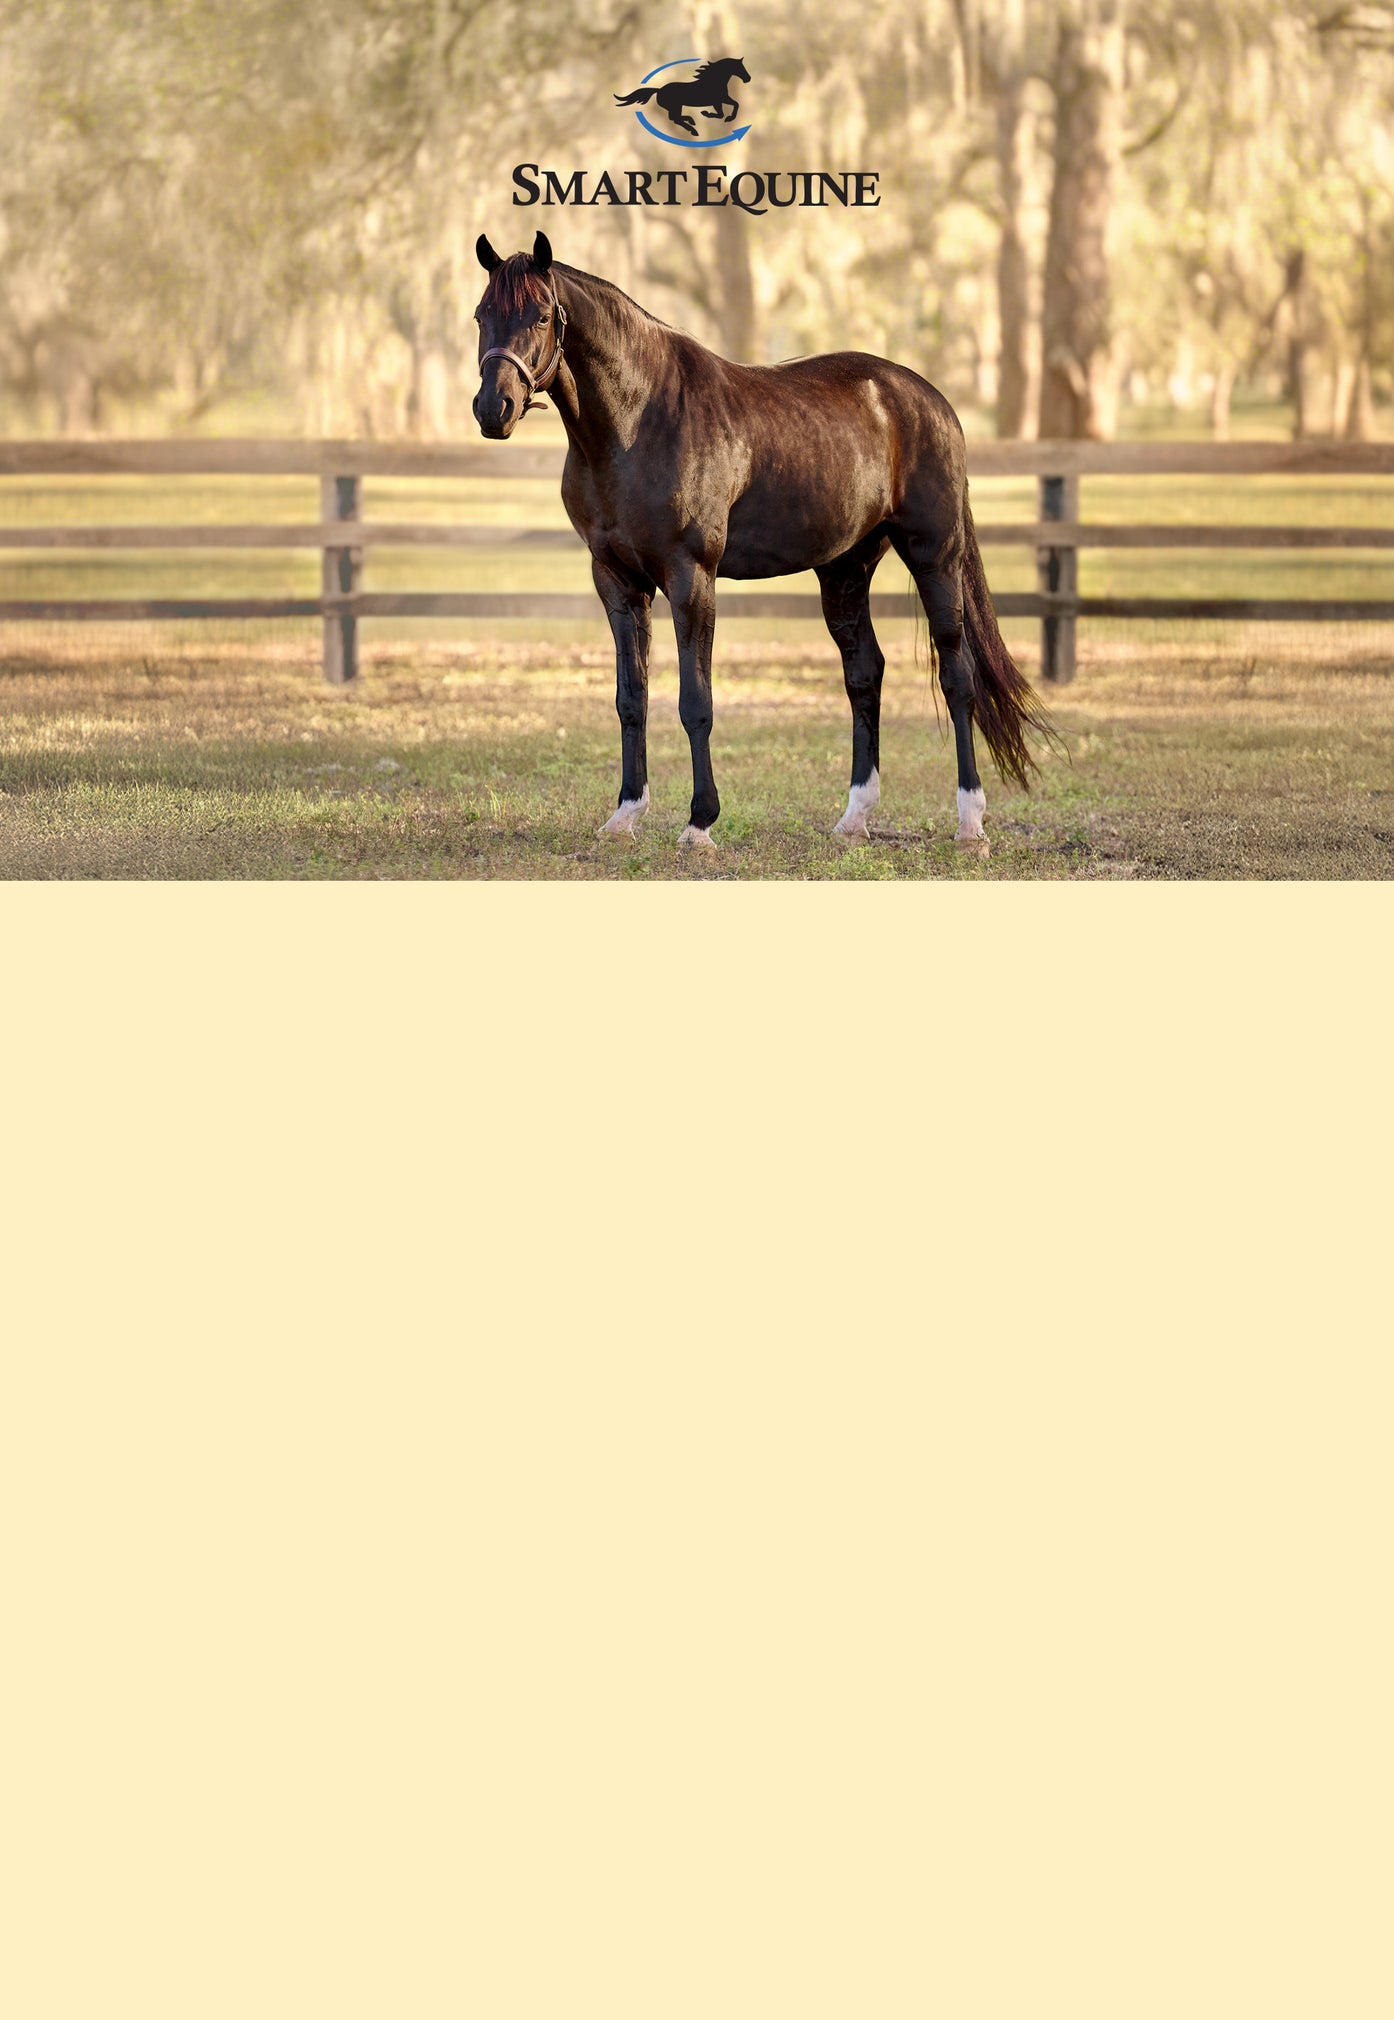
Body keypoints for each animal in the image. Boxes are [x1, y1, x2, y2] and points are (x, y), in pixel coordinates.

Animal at [471, 231, 1055, 853]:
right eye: (482, 314)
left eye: (539, 315)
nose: (493, 408)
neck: (637, 422)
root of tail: (931, 401)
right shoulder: (617, 581)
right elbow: (632, 698)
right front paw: (625, 813)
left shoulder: (690, 577)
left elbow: (695, 702)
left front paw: (700, 822)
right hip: (845, 570)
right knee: (864, 673)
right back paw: (855, 816)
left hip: (935, 558)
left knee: (957, 675)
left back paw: (970, 822)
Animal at [614, 58, 750, 138]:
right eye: (740, 67)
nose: (748, 78)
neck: (714, 81)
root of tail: (659, 90)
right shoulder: (719, 100)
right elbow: (729, 109)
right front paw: (710, 114)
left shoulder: (719, 101)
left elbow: (728, 109)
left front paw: (710, 114)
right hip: (676, 106)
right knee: (676, 119)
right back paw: (693, 130)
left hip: (676, 107)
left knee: (675, 118)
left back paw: (691, 121)